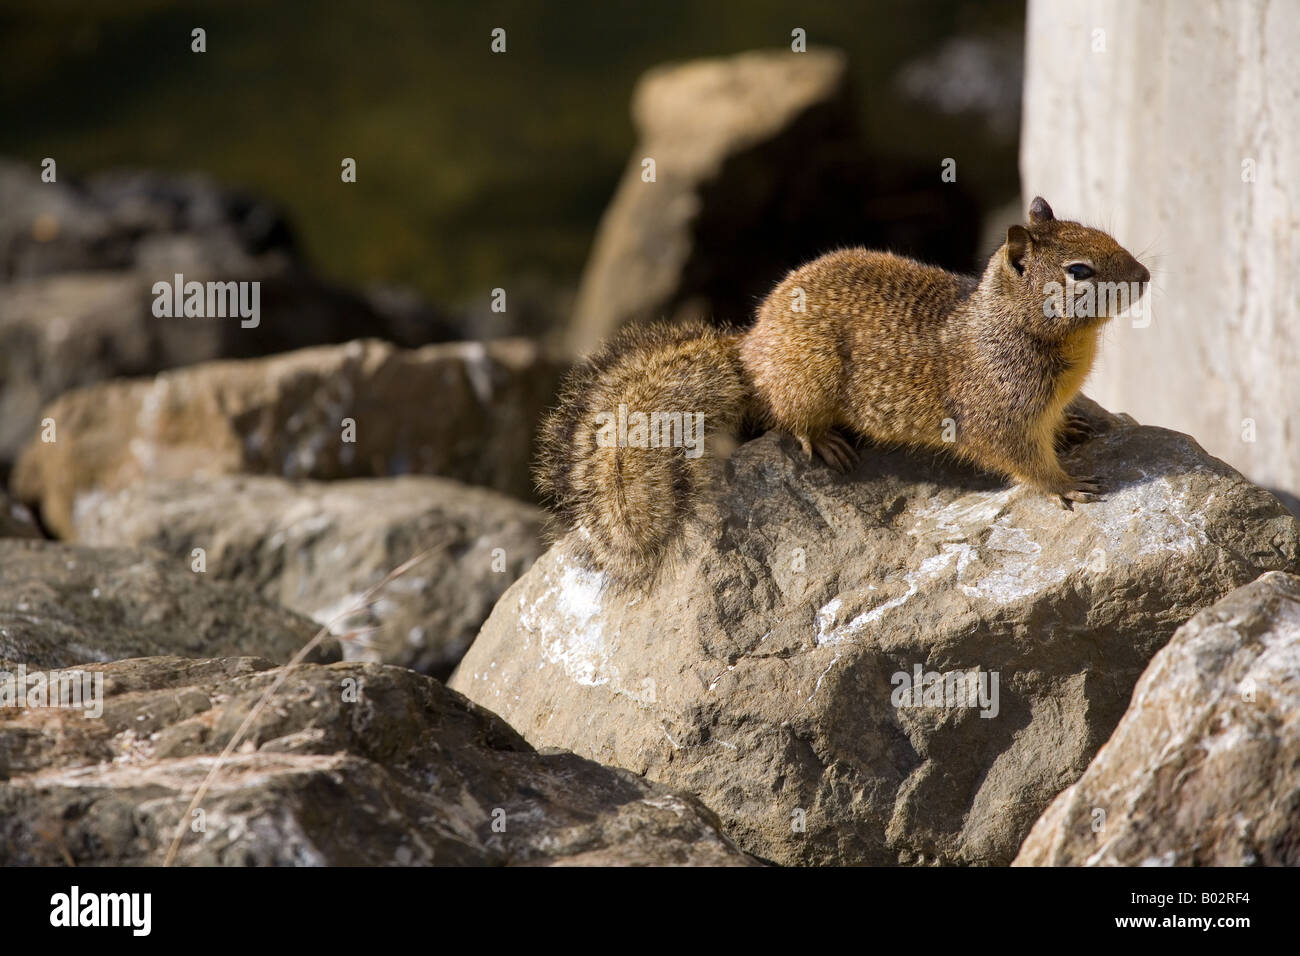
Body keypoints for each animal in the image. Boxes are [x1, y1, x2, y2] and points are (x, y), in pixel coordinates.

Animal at [538, 197, 1150, 590]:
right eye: (1079, 271)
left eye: (1105, 235)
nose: (1145, 276)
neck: (1011, 324)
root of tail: (751, 347)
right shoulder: (997, 414)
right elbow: (1023, 460)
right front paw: (1065, 486)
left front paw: (1071, 426)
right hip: (807, 383)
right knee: (789, 421)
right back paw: (825, 442)